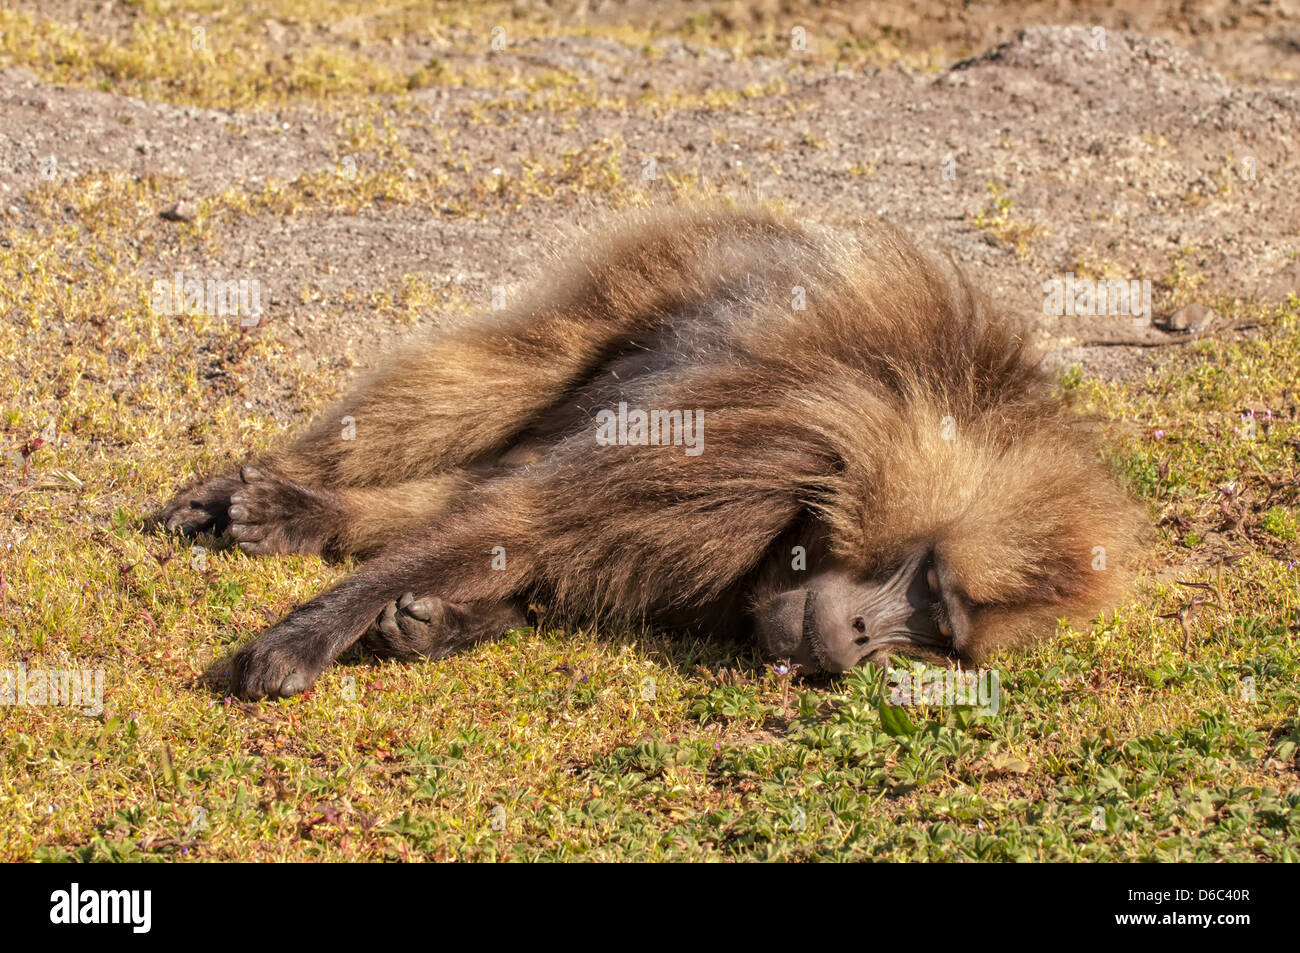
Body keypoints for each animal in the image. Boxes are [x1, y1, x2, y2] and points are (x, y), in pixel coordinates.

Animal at [156, 204, 1143, 700]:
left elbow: (524, 536)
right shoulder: (757, 453)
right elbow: (524, 517)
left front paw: (442, 620)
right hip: (661, 280)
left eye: (937, 637)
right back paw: (283, 493)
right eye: (930, 586)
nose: (862, 644)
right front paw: (296, 643)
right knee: (507, 378)